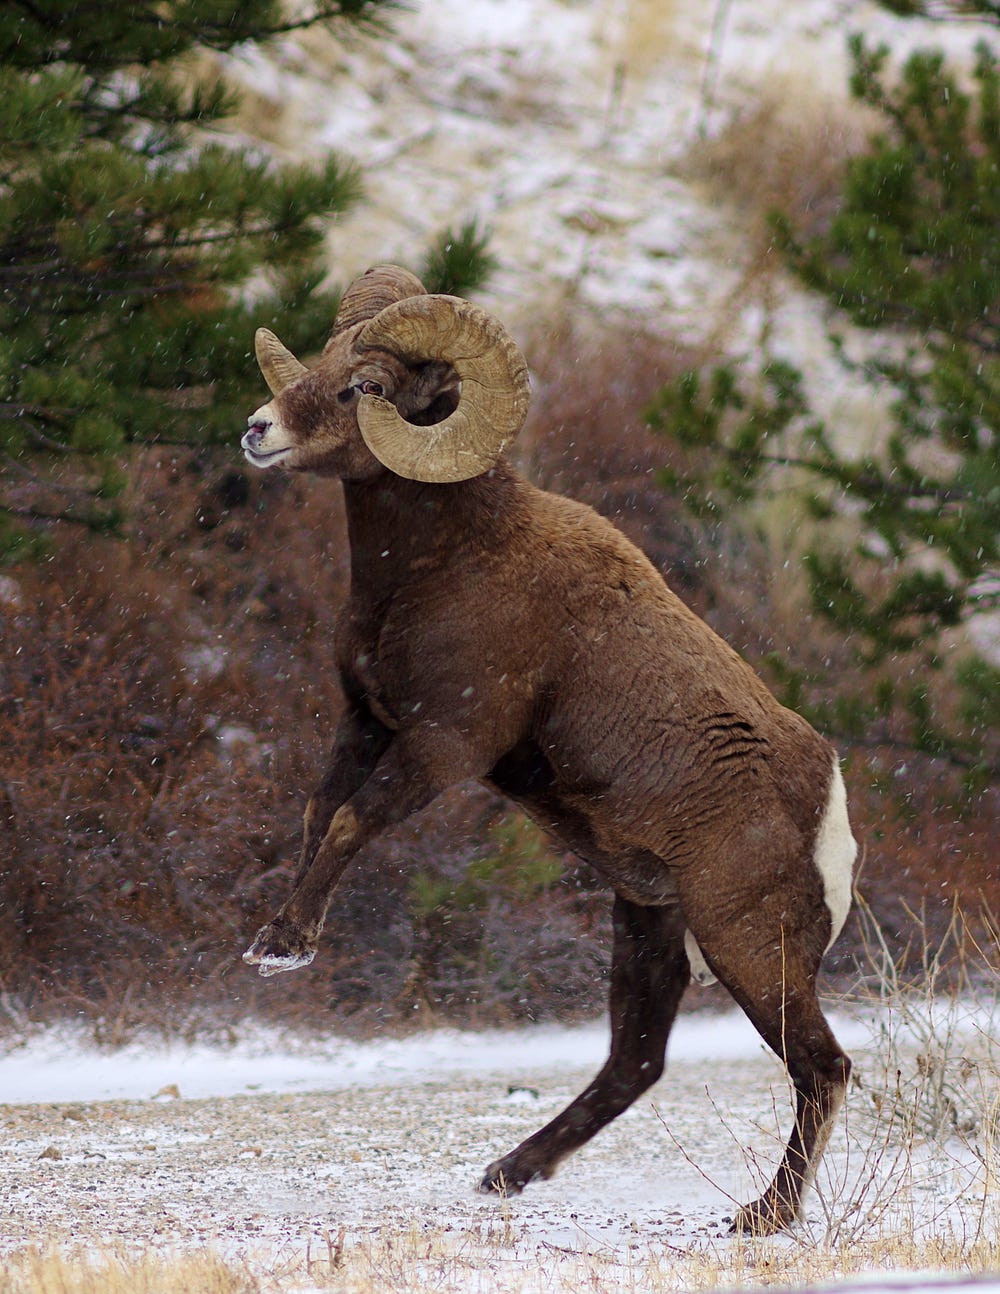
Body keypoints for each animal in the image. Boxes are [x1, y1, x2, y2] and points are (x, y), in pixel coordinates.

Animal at [240, 264, 857, 1234]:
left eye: (364, 386)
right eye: (325, 359)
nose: (258, 430)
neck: (445, 563)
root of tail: (829, 811)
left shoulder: (444, 747)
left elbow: (347, 823)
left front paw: (287, 948)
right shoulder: (364, 722)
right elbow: (317, 814)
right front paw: (275, 940)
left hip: (749, 947)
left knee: (820, 1067)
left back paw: (764, 1217)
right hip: (647, 924)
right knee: (635, 1062)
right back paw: (507, 1171)